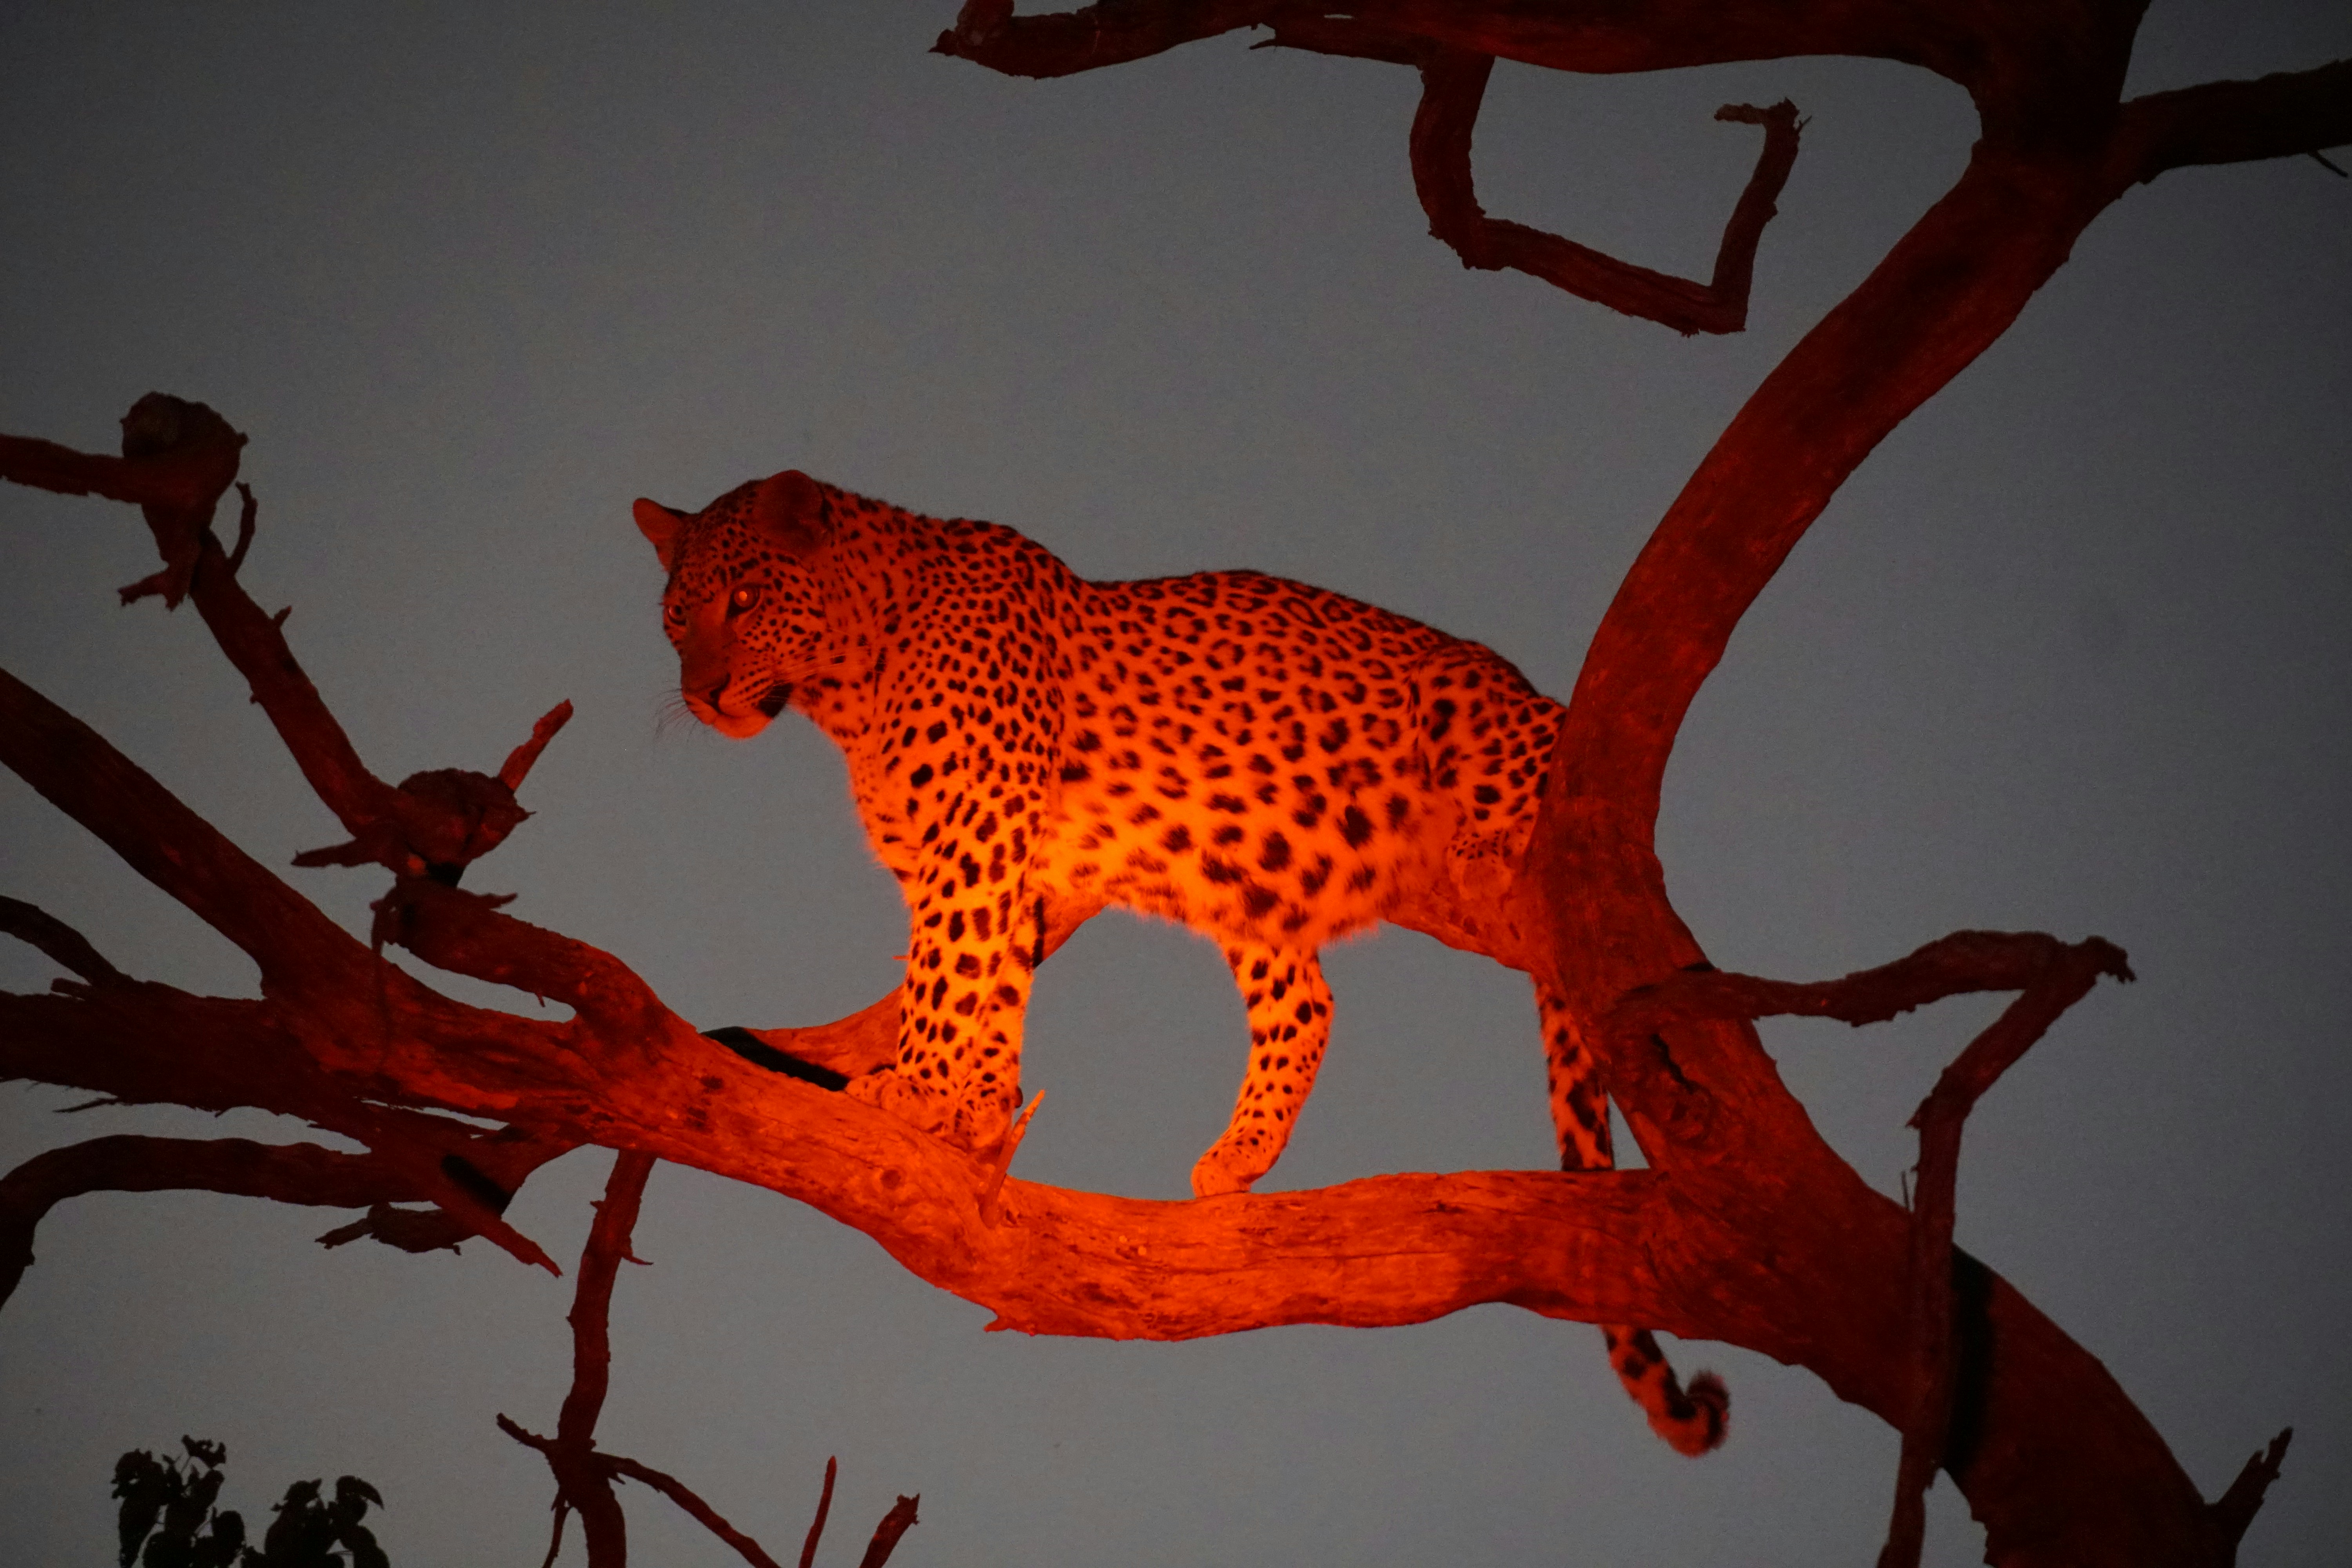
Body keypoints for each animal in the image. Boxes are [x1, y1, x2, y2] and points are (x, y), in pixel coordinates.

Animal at [636, 468, 1727, 1456]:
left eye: (745, 601)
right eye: (678, 619)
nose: (701, 695)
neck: (850, 683)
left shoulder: (977, 832)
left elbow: (950, 968)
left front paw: (917, 1090)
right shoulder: (1000, 859)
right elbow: (991, 979)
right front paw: (979, 1109)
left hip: (1478, 716)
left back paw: (1500, 834)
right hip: (1251, 875)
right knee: (1308, 999)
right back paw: (1239, 1153)